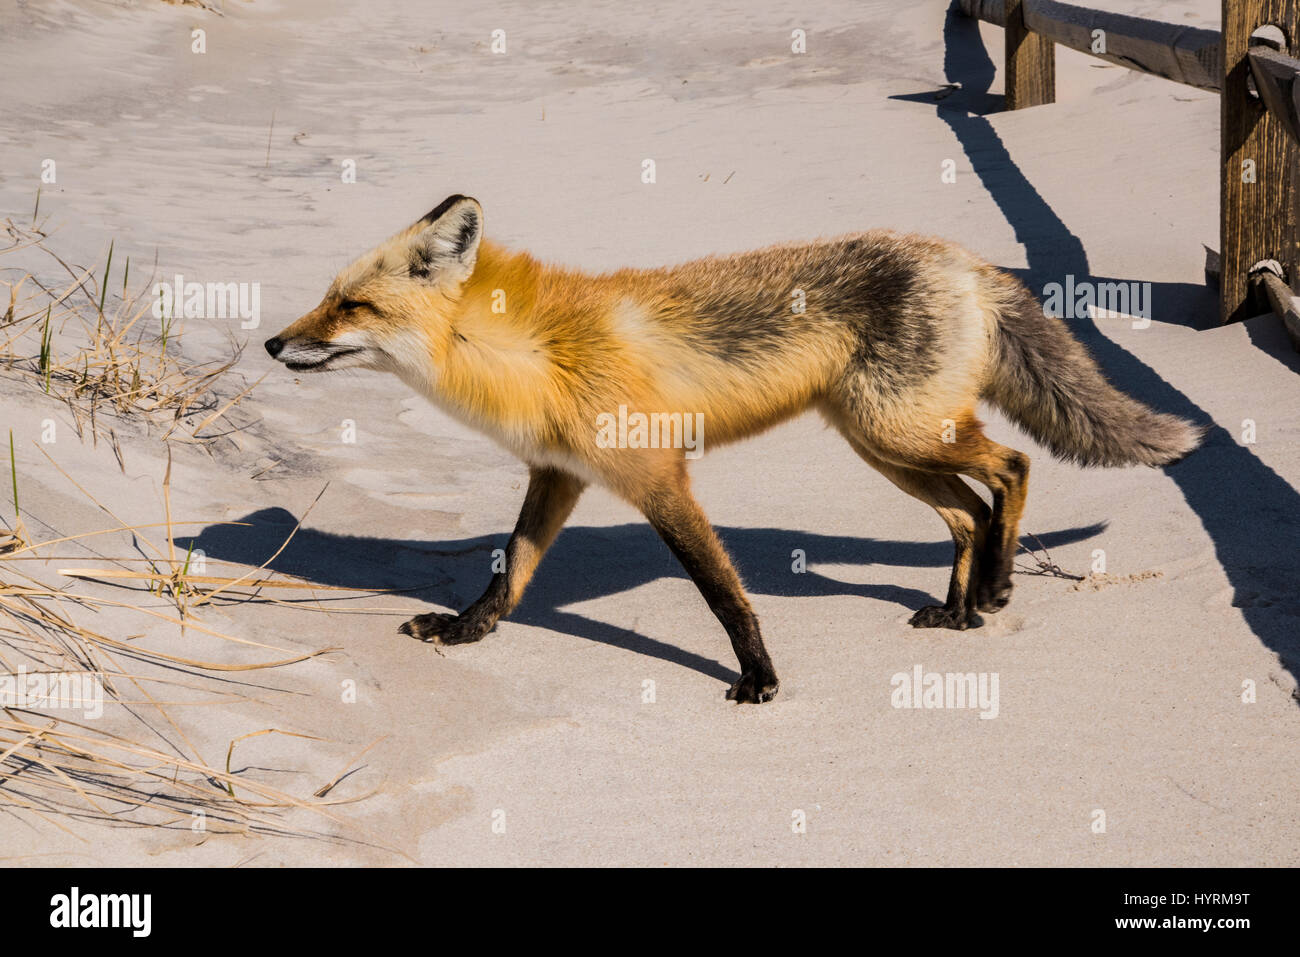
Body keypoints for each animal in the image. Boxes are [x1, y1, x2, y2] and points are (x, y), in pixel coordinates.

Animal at [265, 194, 1203, 704]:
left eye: (350, 306)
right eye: (327, 297)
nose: (273, 344)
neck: (535, 353)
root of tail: (961, 258)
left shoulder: (657, 477)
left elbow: (723, 593)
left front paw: (760, 676)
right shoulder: (560, 476)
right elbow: (508, 574)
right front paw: (465, 632)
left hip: (900, 431)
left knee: (1013, 468)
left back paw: (999, 588)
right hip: (886, 445)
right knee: (969, 512)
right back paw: (961, 608)